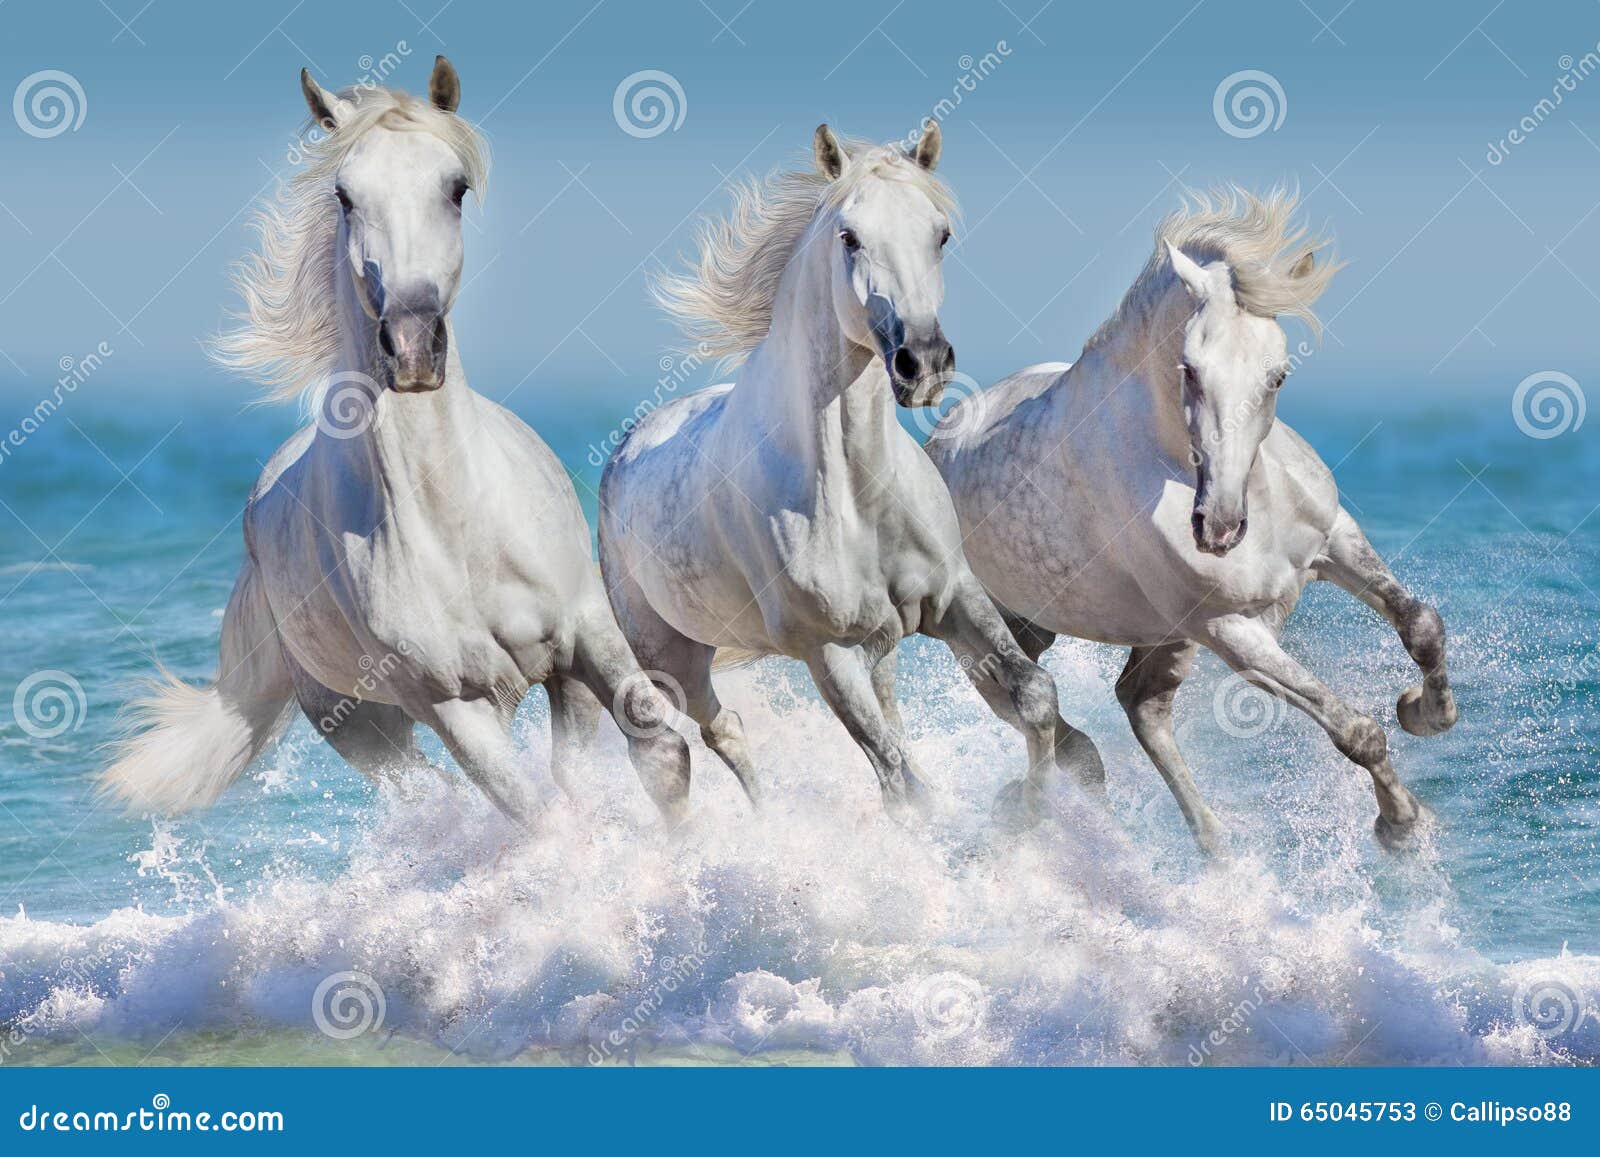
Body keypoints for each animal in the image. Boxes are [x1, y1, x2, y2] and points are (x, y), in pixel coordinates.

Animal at [100, 58, 691, 827]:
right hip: (363, 726)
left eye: (456, 187)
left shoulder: (584, 639)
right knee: (432, 796)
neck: (458, 527)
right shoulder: (453, 707)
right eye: (345, 195)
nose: (411, 344)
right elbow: (544, 816)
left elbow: (658, 758)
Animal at [597, 124, 1105, 818]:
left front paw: (1034, 812)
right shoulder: (826, 652)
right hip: (674, 657)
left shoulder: (954, 596)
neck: (855, 492)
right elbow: (895, 782)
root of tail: (627, 448)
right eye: (849, 237)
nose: (923, 362)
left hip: (880, 641)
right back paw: (763, 823)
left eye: (940, 234)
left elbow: (1033, 695)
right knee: (714, 732)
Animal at [927, 187, 1457, 853]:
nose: (1219, 528)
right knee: (1035, 708)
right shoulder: (1230, 630)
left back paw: (1215, 852)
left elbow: (1421, 624)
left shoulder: (1335, 541)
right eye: (1190, 369)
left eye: (1278, 375)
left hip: (1131, 632)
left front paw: (1425, 712)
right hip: (986, 628)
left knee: (1140, 705)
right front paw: (1401, 824)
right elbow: (1352, 728)